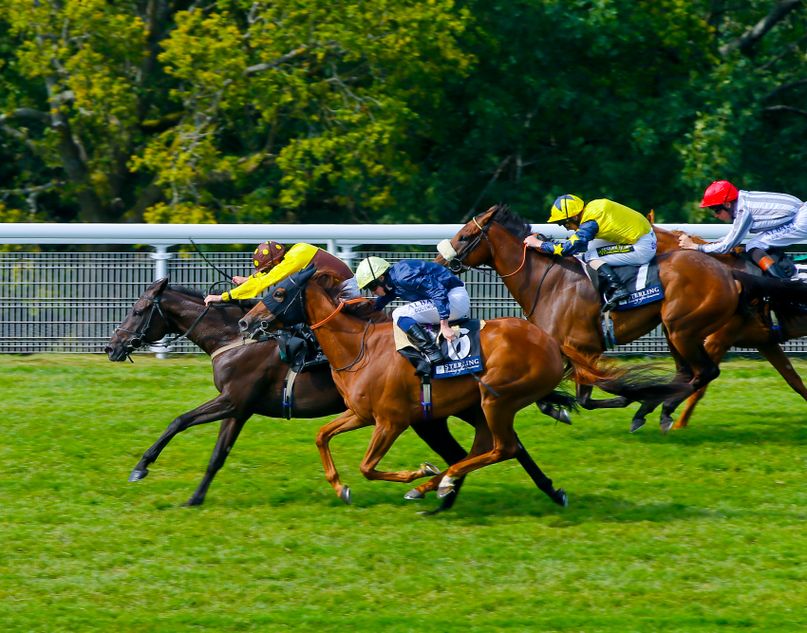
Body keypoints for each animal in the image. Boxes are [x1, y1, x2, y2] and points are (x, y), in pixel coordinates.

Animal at [237, 266, 689, 510]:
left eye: (279, 291)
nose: (246, 321)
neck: (358, 347)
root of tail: (550, 342)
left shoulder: (390, 420)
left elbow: (368, 466)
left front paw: (420, 471)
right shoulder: (362, 413)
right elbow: (321, 436)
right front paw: (340, 486)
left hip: (496, 397)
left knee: (499, 448)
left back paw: (441, 481)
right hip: (481, 406)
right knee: (492, 448)